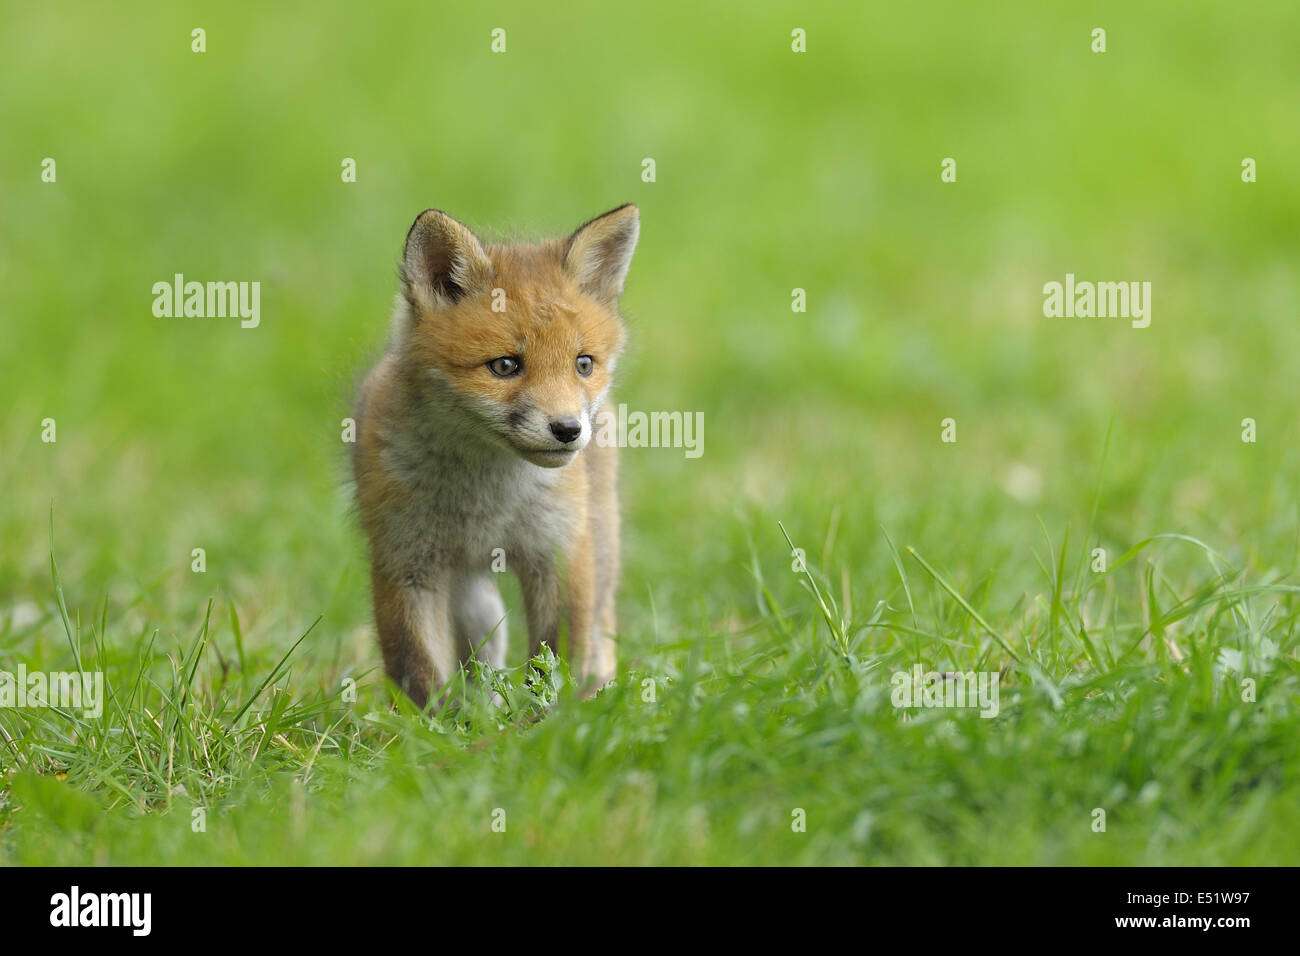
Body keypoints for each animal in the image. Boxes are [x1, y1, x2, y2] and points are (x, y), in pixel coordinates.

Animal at [351, 204, 639, 708]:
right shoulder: (404, 561)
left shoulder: (559, 549)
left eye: (583, 364)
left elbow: (555, 658)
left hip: (598, 543)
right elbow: (417, 668)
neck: (485, 496)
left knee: (601, 625)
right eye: (504, 365)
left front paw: (551, 716)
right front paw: (429, 728)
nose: (568, 430)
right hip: (472, 597)